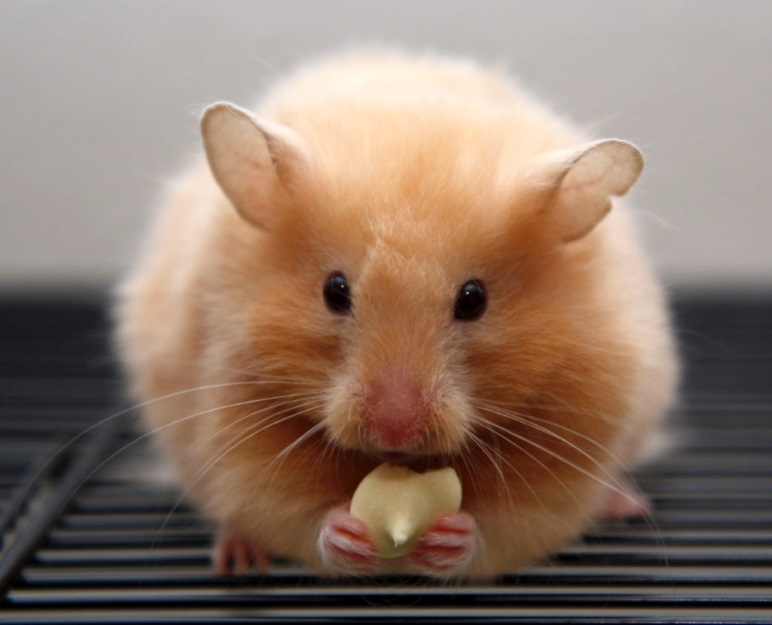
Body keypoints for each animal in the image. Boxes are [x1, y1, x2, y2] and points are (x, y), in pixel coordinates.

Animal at [114, 50, 678, 580]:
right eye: (334, 291)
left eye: (473, 299)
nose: (395, 433)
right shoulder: (234, 400)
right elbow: (282, 508)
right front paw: (343, 533)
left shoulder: (574, 432)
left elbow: (515, 523)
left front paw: (452, 538)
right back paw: (238, 559)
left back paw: (628, 503)